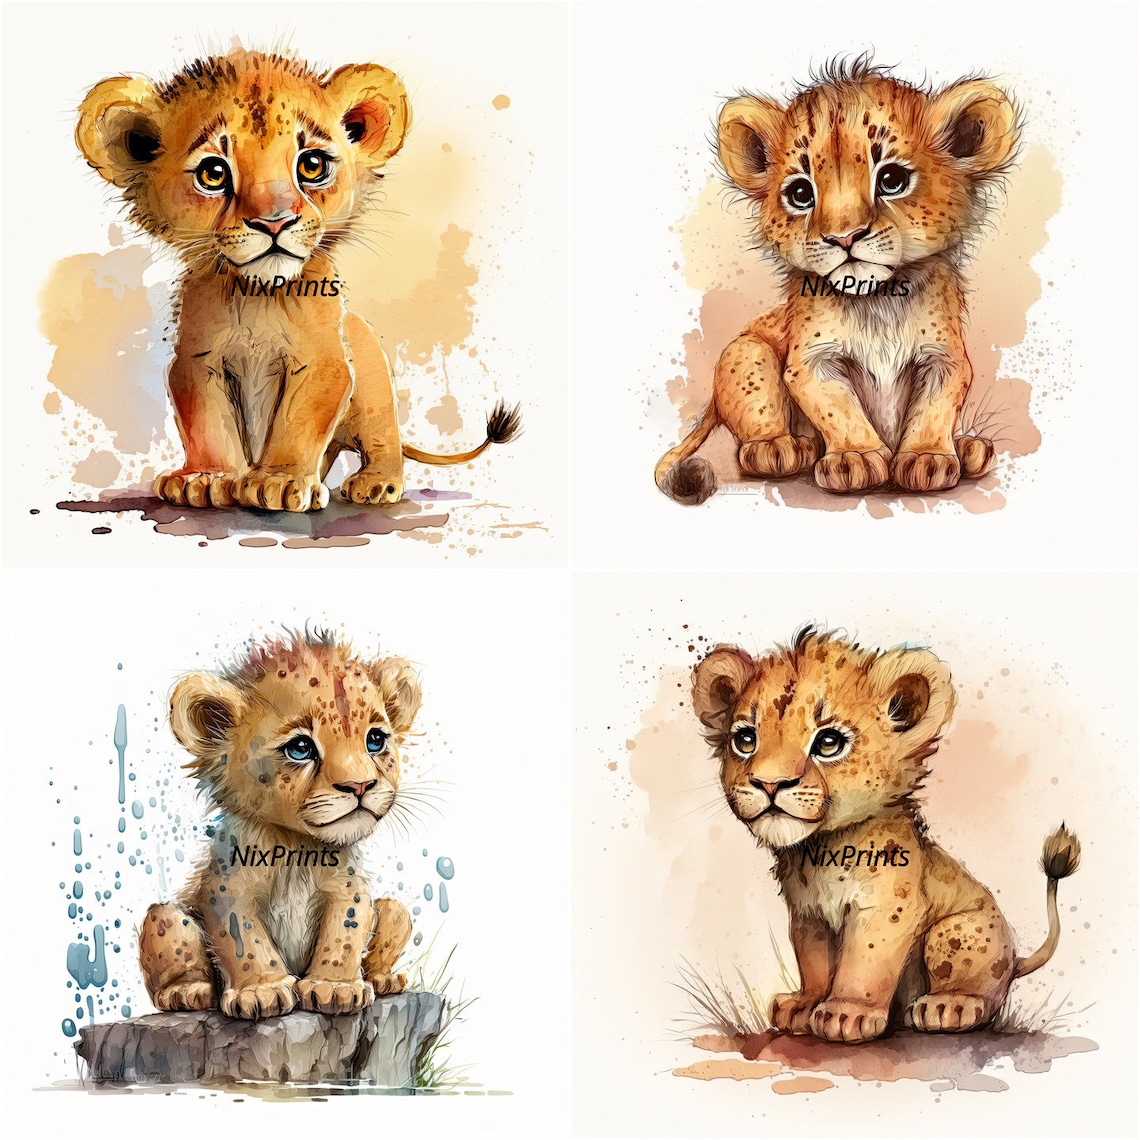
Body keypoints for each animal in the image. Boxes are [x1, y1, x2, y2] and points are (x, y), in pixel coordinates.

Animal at [76, 47, 519, 513]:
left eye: (312, 165)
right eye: (213, 173)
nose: (274, 221)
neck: (258, 295)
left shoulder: (324, 362)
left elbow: (299, 421)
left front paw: (279, 481)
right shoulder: (197, 361)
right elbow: (207, 422)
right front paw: (208, 479)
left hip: (373, 379)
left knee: (385, 439)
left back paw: (376, 483)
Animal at [139, 629, 421, 1019]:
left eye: (375, 740)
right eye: (300, 748)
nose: (360, 785)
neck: (298, 848)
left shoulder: (348, 887)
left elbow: (346, 930)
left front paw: (334, 988)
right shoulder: (227, 887)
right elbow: (244, 938)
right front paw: (261, 991)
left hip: (395, 912)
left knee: (393, 914)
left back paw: (384, 980)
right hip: (164, 918)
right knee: (167, 926)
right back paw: (187, 992)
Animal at [657, 55, 1022, 504]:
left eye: (892, 180)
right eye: (800, 193)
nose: (844, 237)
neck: (878, 301)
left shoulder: (944, 356)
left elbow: (934, 408)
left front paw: (926, 458)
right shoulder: (812, 361)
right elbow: (837, 408)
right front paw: (856, 458)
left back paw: (969, 447)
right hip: (744, 352)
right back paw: (780, 448)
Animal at [691, 626, 1079, 1043]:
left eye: (828, 742)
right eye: (745, 740)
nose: (768, 783)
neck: (819, 851)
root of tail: (1016, 959)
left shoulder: (887, 906)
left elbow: (866, 961)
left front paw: (847, 1013)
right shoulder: (809, 915)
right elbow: (814, 962)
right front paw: (804, 1005)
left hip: (954, 930)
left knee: (983, 993)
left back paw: (949, 1006)